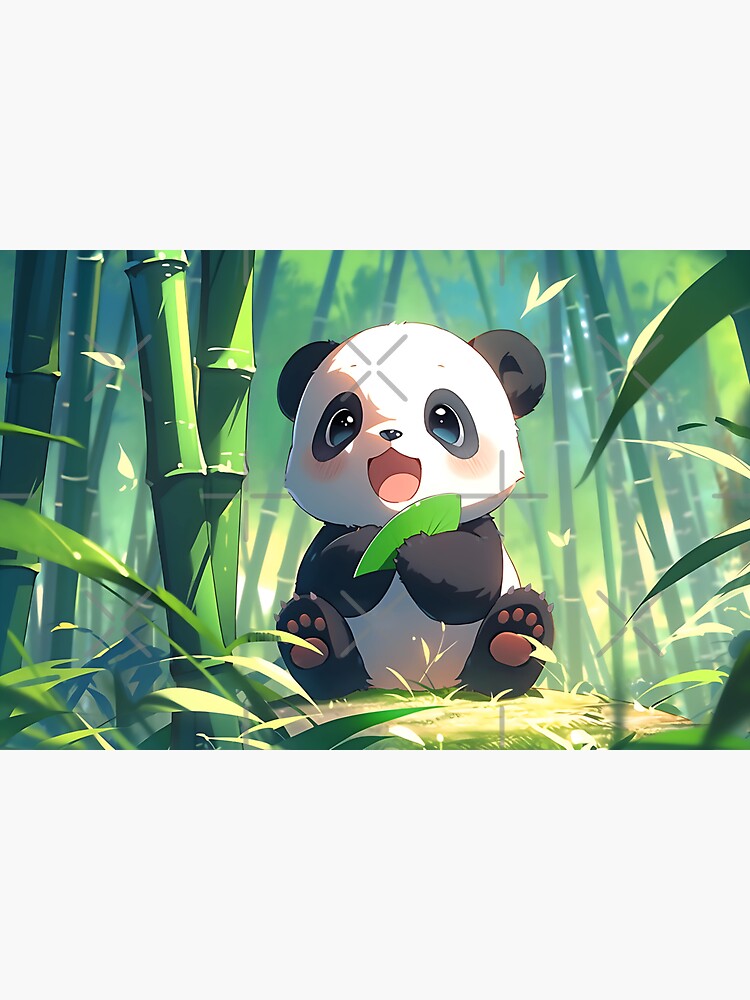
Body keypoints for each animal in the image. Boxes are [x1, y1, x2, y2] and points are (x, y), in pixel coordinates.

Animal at [274, 322, 554, 701]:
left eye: (444, 418)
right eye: (342, 422)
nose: (390, 433)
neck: (399, 514)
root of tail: (414, 684)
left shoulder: (475, 525)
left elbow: (473, 580)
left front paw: (417, 551)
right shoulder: (330, 534)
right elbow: (320, 574)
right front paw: (367, 545)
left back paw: (515, 634)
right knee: (321, 639)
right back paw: (308, 636)